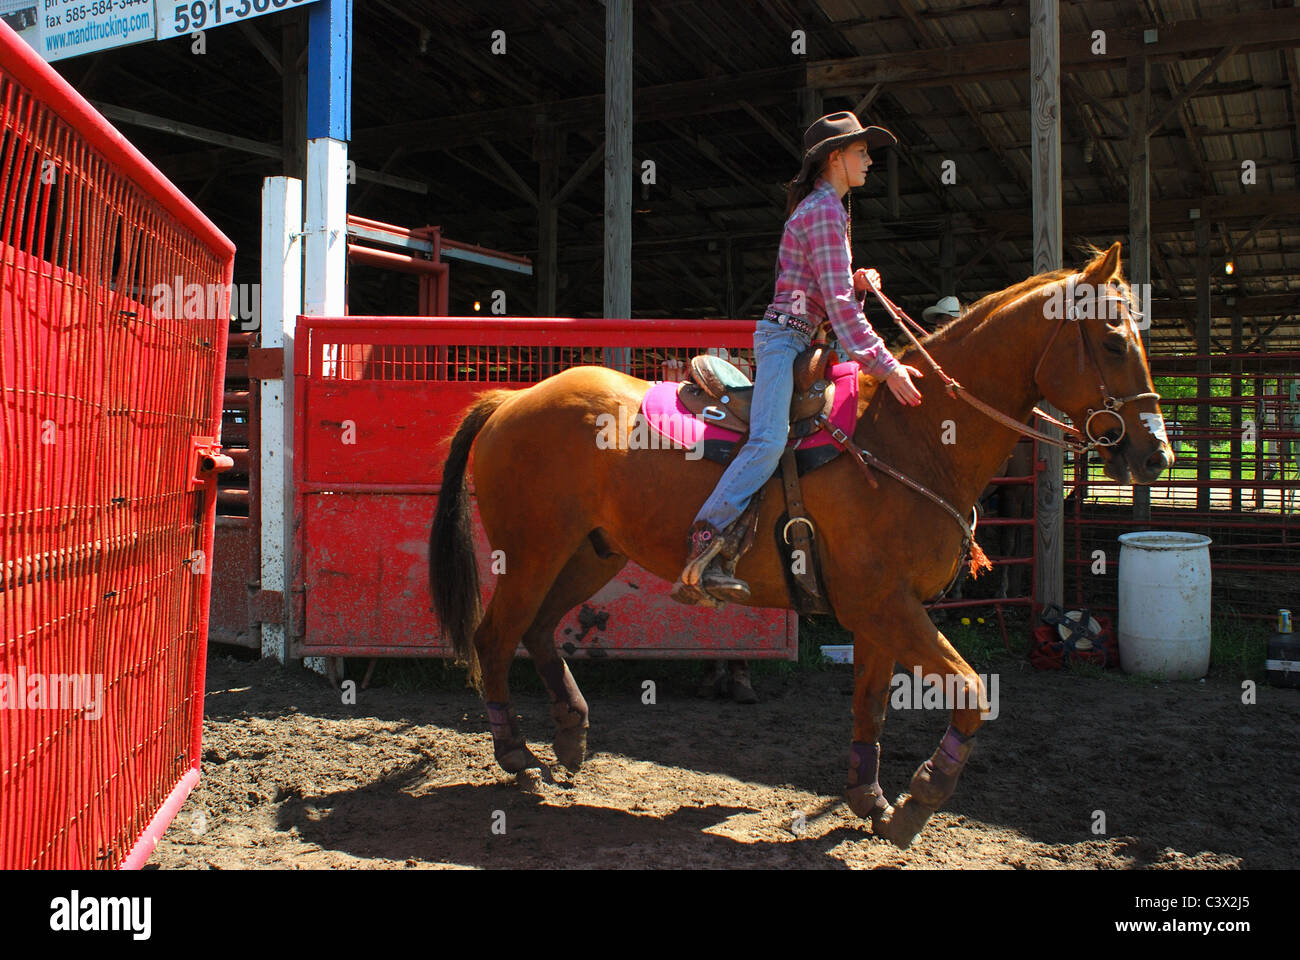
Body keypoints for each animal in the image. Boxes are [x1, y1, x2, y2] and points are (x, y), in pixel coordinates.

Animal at [429, 242, 1172, 849]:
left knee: (539, 631)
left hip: (590, 553)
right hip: (532, 553)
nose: (1156, 455)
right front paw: (918, 802)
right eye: (1112, 341)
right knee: (497, 636)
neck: (914, 435)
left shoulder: (879, 615)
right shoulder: (886, 606)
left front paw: (869, 800)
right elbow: (969, 693)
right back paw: (518, 756)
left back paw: (570, 737)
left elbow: (871, 705)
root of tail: (509, 401)